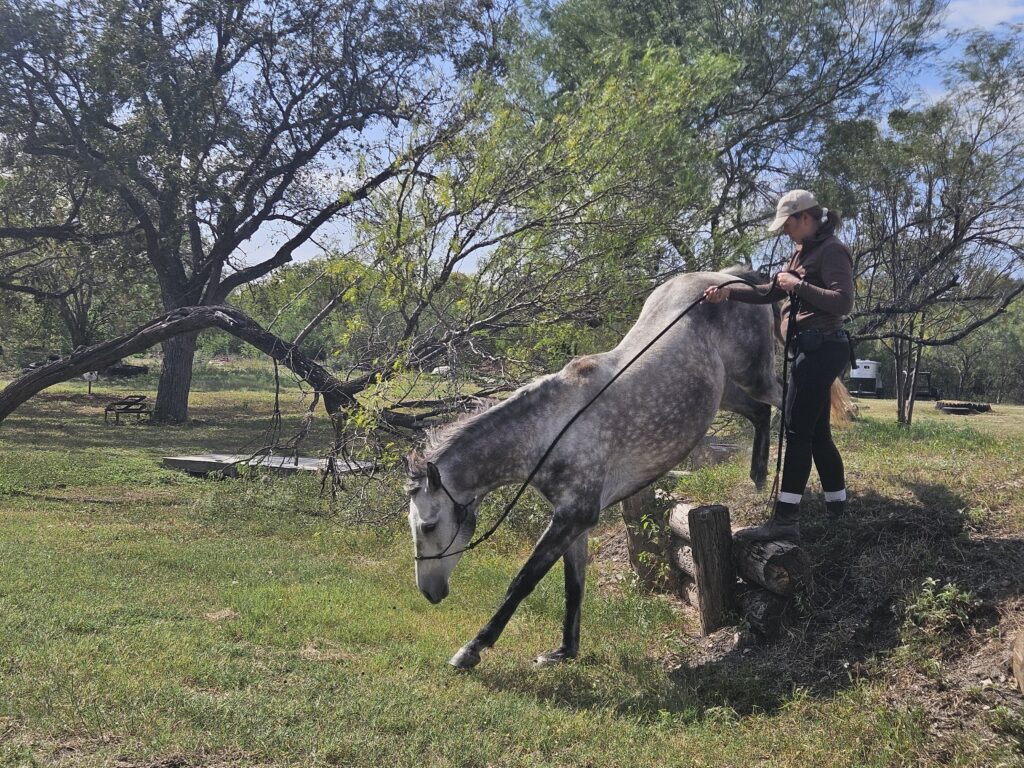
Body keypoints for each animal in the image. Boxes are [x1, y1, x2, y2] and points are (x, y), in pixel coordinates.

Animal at [404, 270, 783, 669]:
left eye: (428, 526)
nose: (429, 592)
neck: (552, 429)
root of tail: (727, 277)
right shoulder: (574, 522)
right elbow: (573, 586)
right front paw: (563, 652)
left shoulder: (572, 517)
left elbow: (523, 581)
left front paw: (472, 649)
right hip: (725, 392)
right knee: (760, 414)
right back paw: (759, 479)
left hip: (756, 375)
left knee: (792, 397)